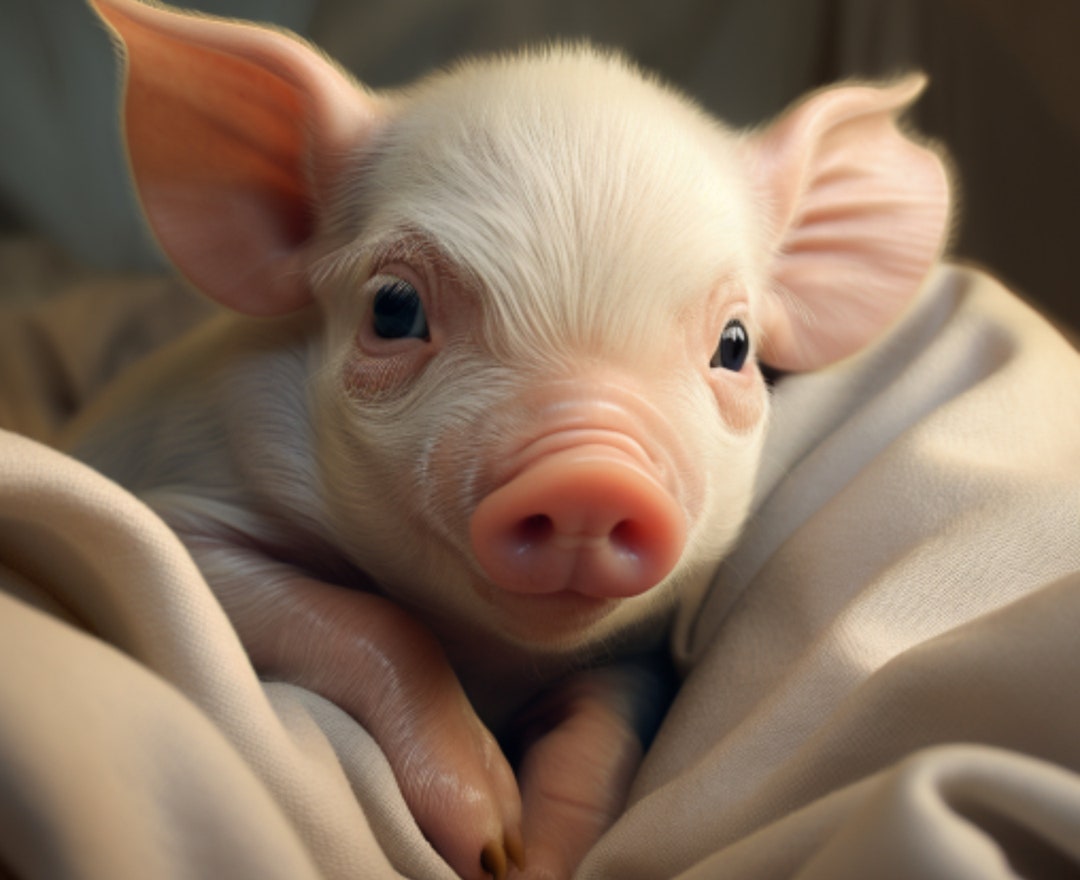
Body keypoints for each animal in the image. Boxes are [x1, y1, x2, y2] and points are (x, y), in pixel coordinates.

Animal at [65, 0, 950, 877]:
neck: (493, 658)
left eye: (733, 345)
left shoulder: (641, 648)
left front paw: (535, 858)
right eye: (393, 307)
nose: (591, 476)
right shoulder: (185, 505)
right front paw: (492, 844)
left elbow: (605, 726)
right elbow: (374, 624)